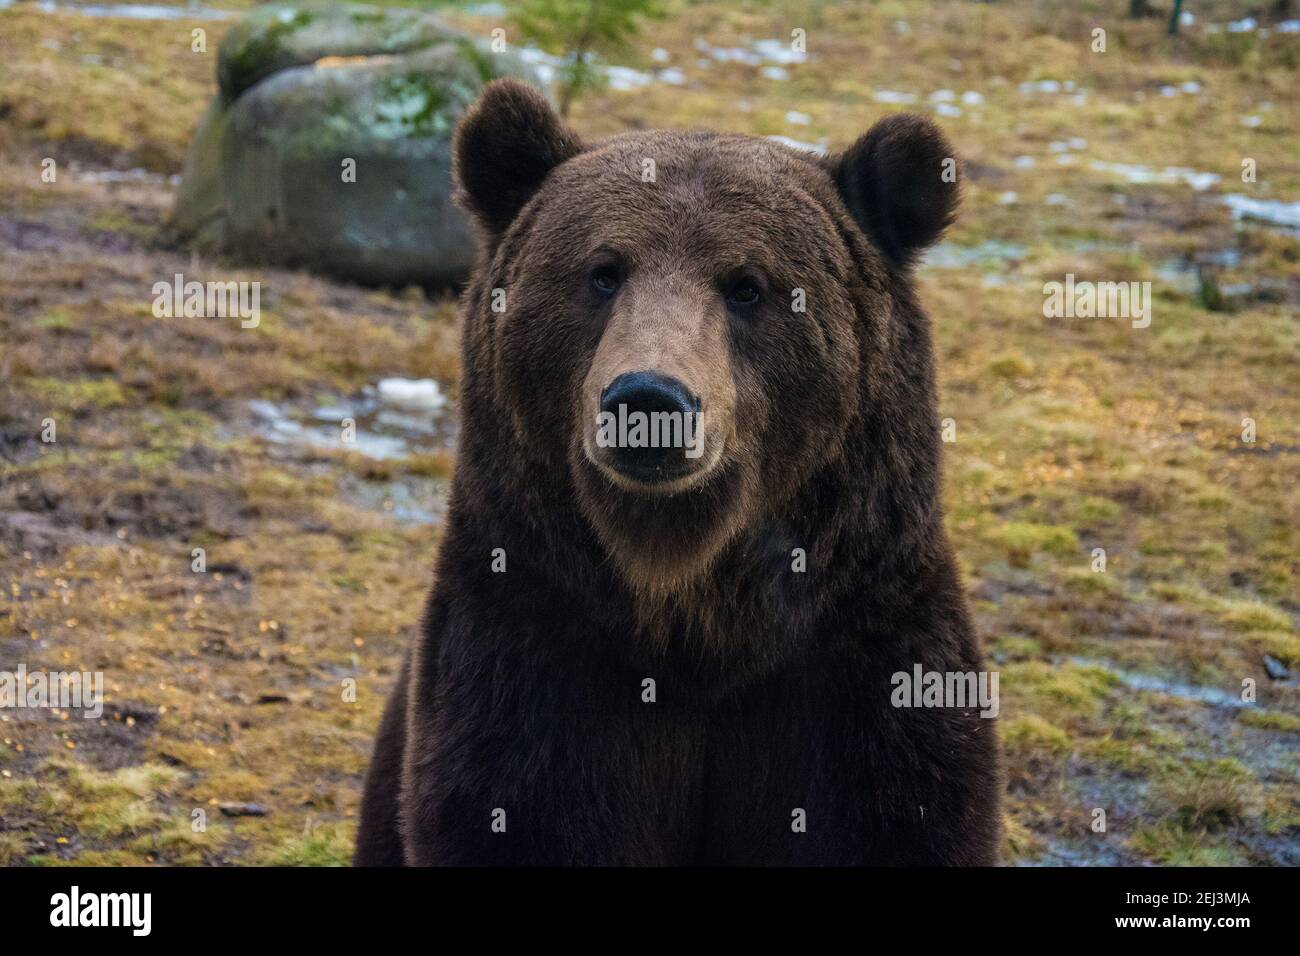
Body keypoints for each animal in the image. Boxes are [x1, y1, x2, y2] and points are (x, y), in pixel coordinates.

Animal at [354, 78, 1001, 866]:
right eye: (603, 272)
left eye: (748, 285)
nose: (649, 400)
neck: (691, 614)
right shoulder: (534, 649)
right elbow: (521, 808)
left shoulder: (860, 665)